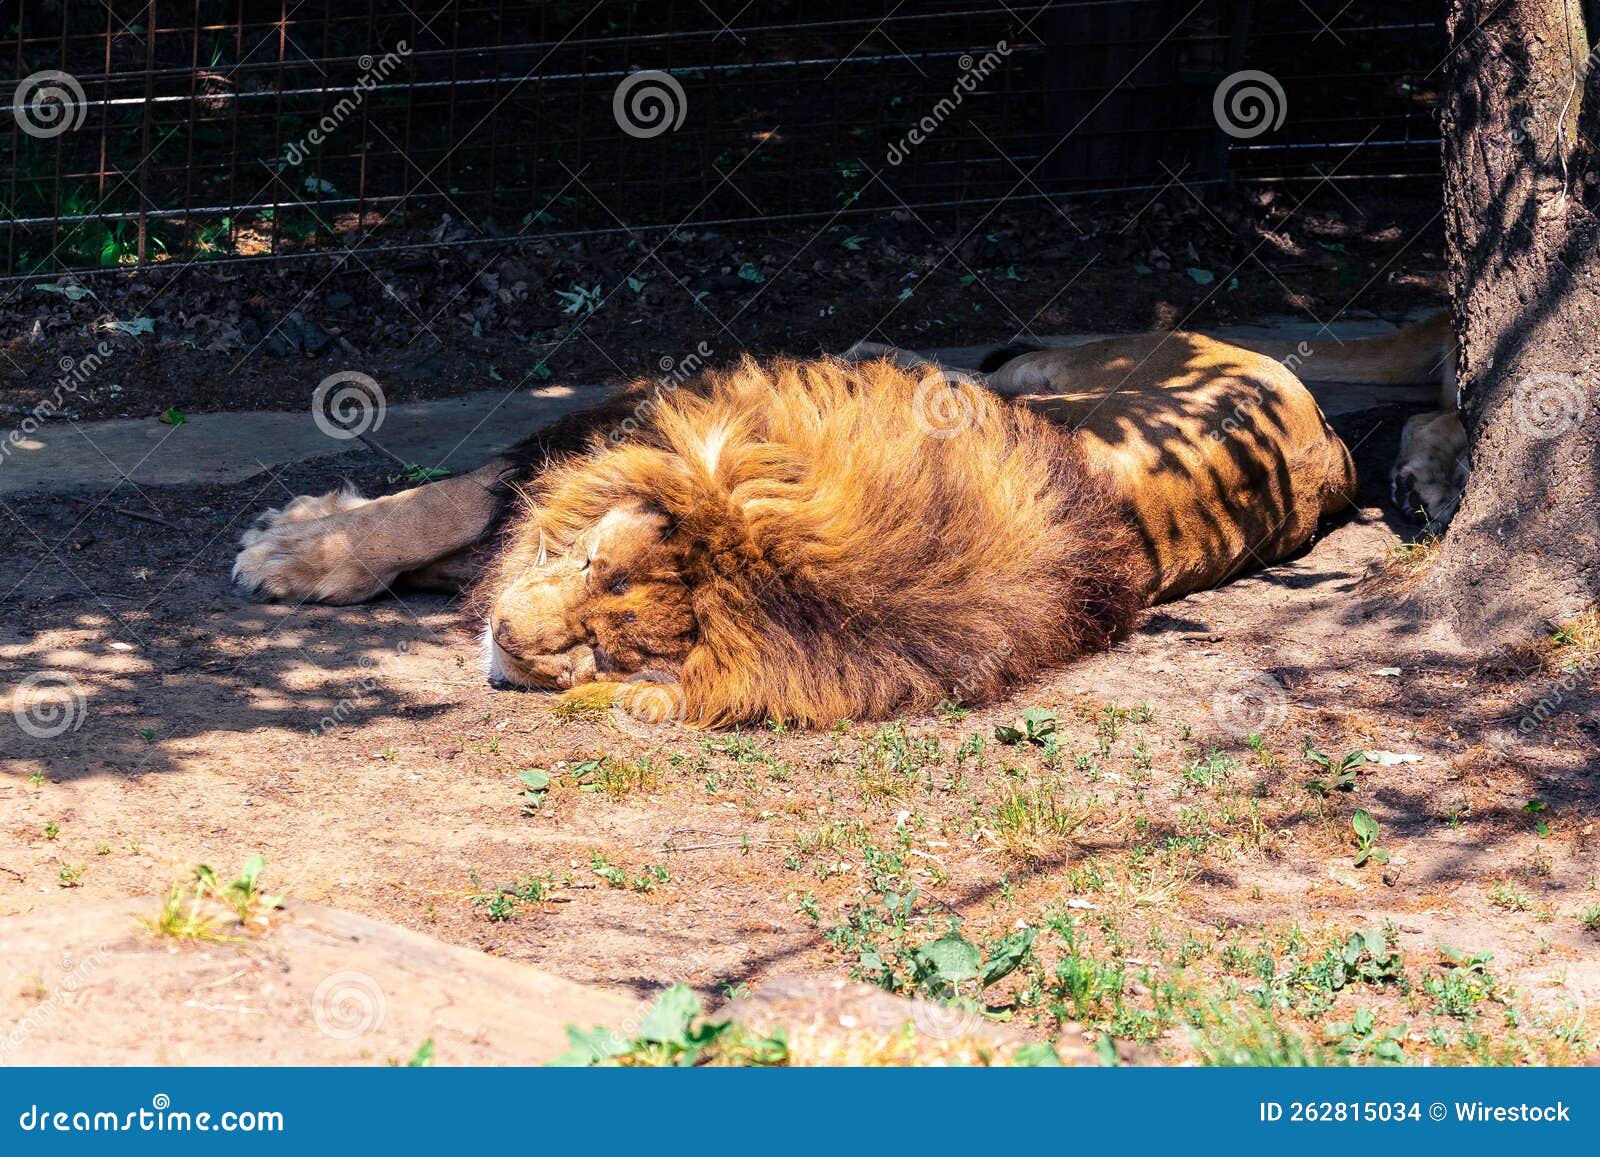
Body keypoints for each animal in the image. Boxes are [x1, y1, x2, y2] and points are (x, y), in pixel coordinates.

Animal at [233, 317, 1452, 726]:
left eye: (607, 655)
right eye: (586, 561)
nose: (508, 647)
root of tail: (1324, 430)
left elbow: (464, 517)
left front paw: (301, 551)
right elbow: (459, 499)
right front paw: (301, 547)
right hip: (1077, 373)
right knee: (998, 358)